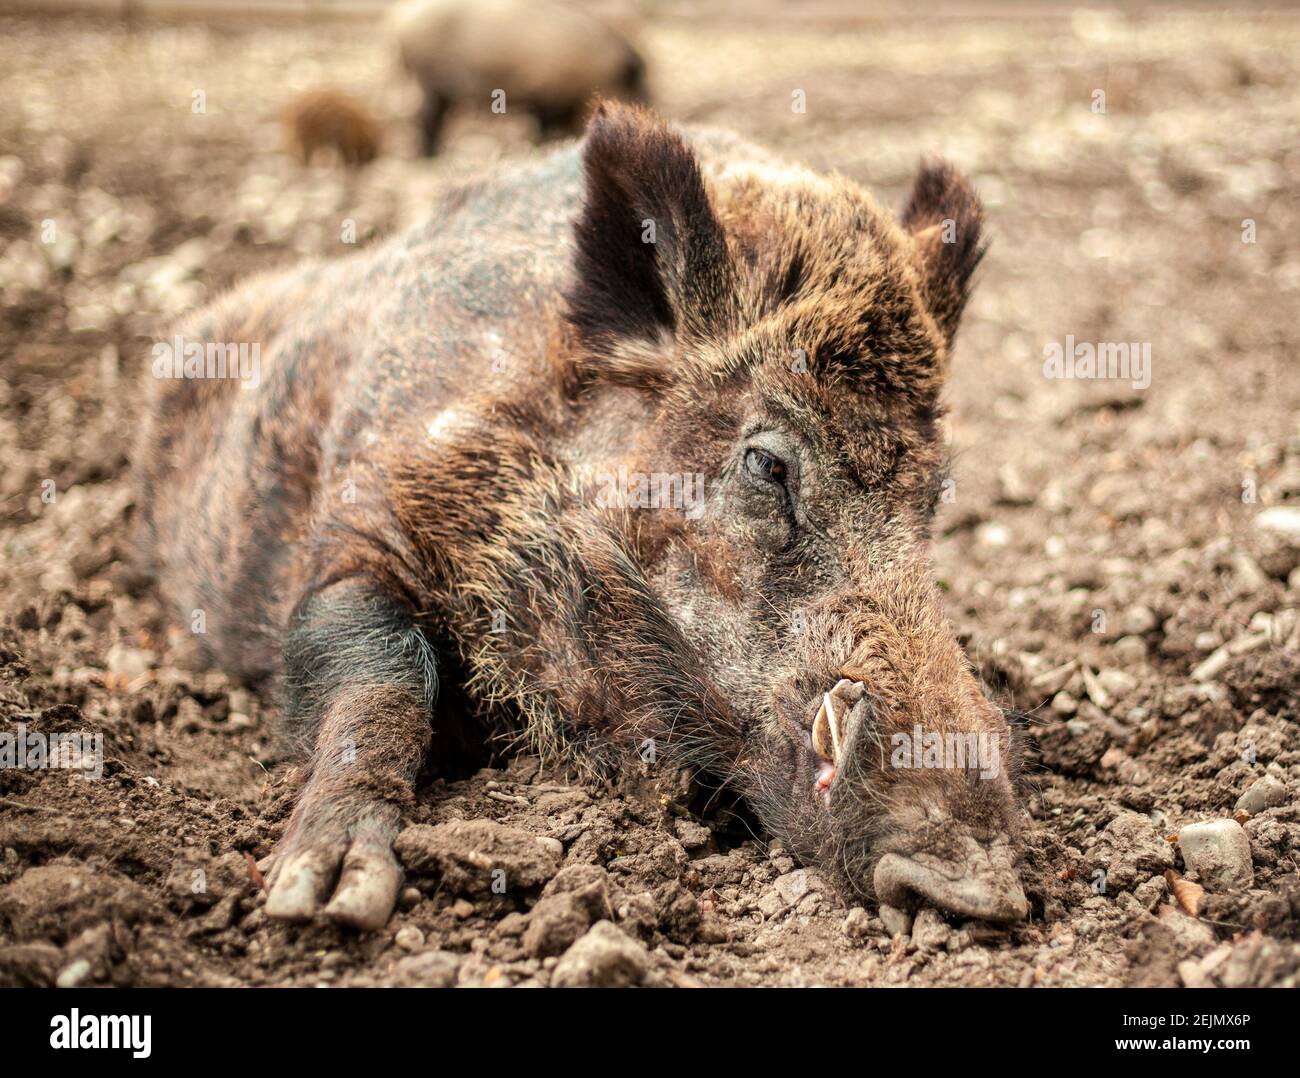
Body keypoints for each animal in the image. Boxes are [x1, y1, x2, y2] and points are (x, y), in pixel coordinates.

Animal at [137, 101, 1029, 932]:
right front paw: (327, 896)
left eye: (932, 496)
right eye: (769, 464)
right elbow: (378, 666)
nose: (985, 890)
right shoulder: (365, 525)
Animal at [390, 0, 648, 155]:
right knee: (426, 116)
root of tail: (400, 22)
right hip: (428, 80)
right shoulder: (547, 95)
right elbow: (545, 127)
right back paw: (428, 155)